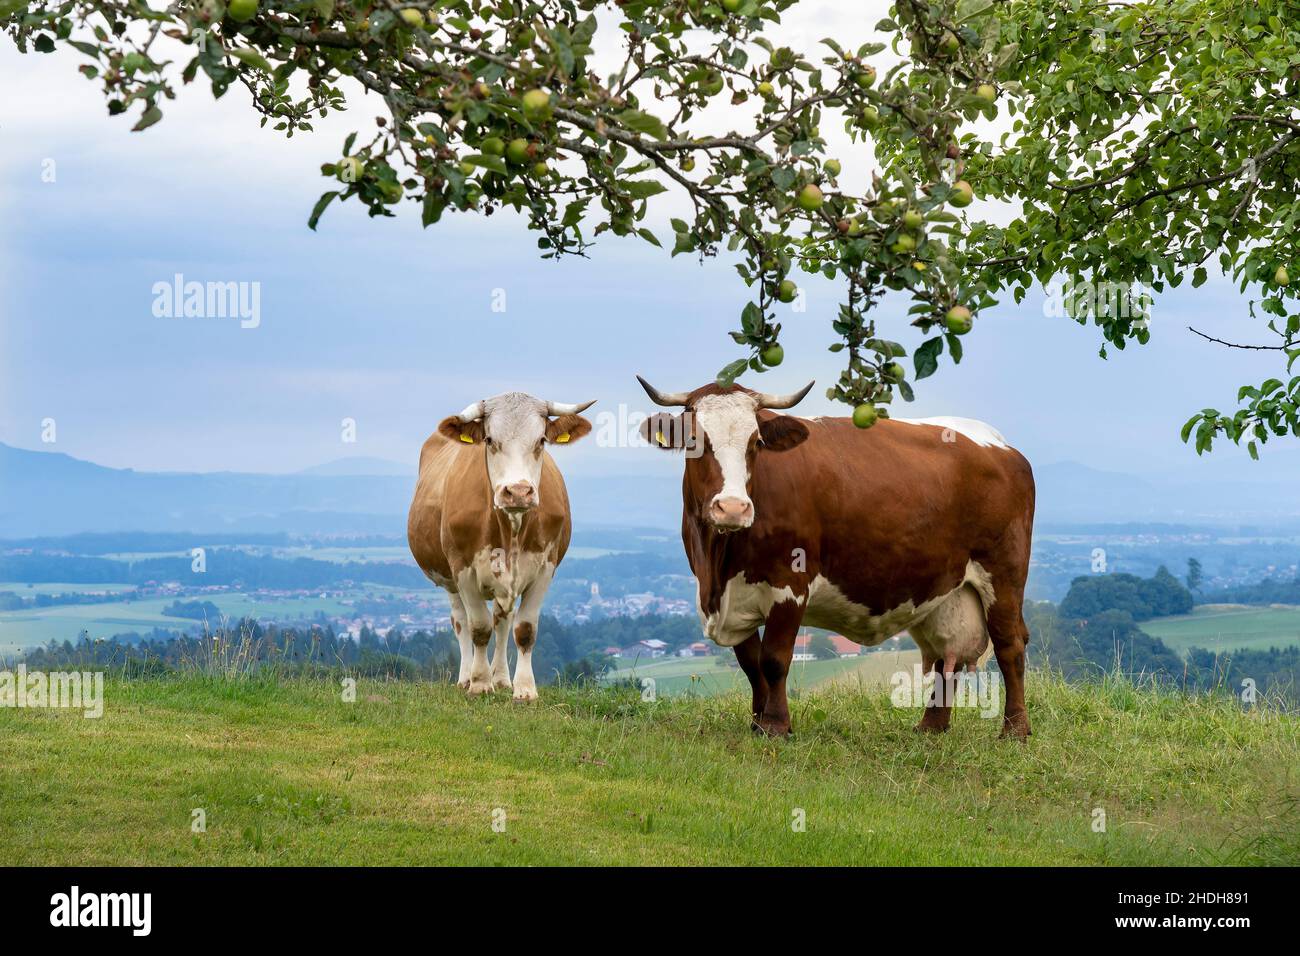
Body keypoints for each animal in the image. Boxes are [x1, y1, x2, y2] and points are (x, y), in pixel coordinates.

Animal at [407, 392, 595, 700]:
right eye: (489, 439)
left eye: (541, 440)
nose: (518, 491)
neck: (510, 529)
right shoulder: (463, 569)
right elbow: (479, 628)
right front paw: (480, 684)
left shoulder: (545, 568)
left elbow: (524, 629)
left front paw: (524, 689)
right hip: (449, 580)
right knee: (461, 622)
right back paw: (465, 678)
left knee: (502, 620)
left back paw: (503, 679)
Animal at [636, 376, 1036, 739]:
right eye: (694, 440)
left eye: (757, 442)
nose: (733, 508)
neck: (720, 564)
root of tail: (1001, 444)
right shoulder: (728, 595)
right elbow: (750, 663)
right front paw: (757, 722)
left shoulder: (790, 584)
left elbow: (774, 659)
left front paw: (776, 725)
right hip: (944, 589)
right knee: (946, 655)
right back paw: (931, 726)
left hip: (1003, 573)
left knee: (1010, 645)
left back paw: (1015, 729)